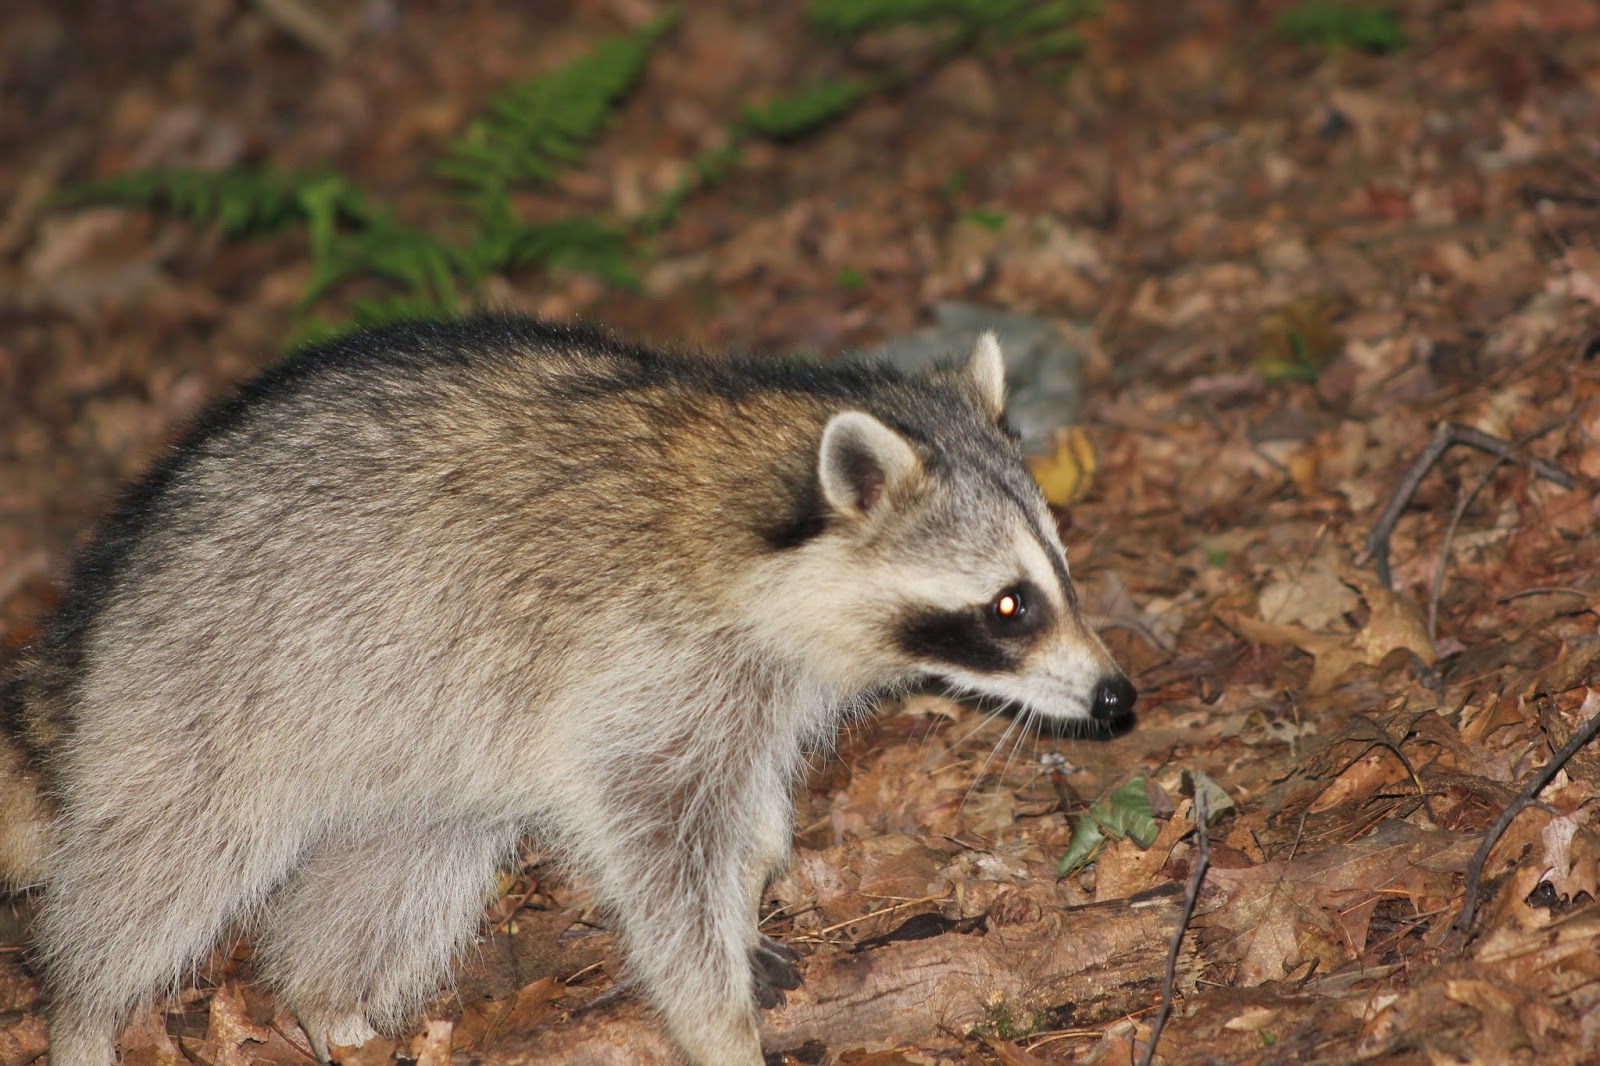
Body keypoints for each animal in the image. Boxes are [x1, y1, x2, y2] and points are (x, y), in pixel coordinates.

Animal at [0, 315, 1135, 1066]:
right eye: (1008, 607)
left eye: (1059, 577)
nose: (1117, 699)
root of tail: (98, 604)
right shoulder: (648, 668)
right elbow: (660, 850)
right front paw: (715, 1016)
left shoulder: (747, 688)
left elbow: (746, 807)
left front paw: (759, 878)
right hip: (212, 694)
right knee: (165, 869)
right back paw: (88, 1009)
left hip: (409, 739)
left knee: (402, 872)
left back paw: (331, 1004)